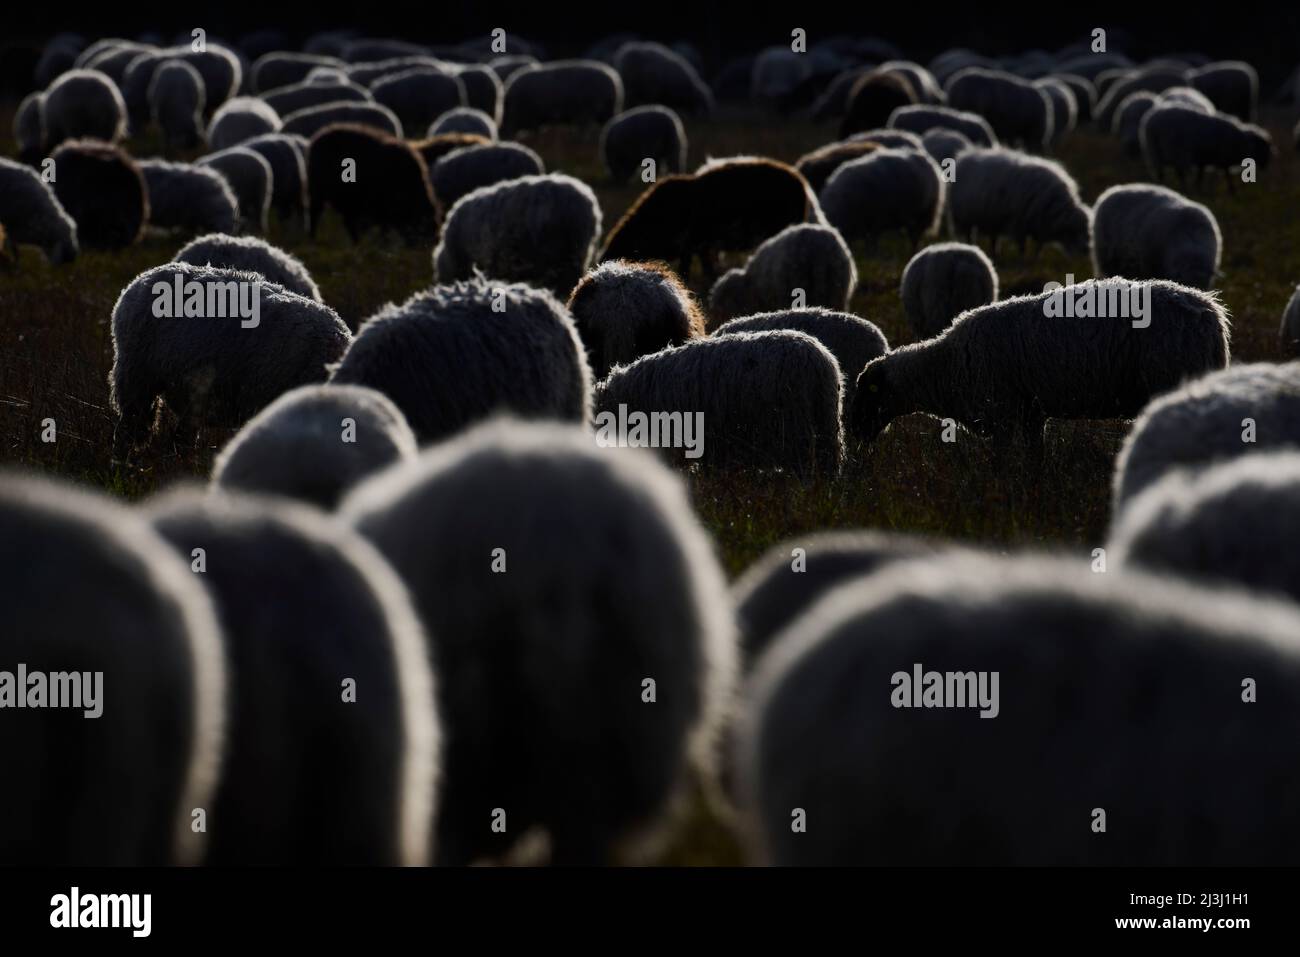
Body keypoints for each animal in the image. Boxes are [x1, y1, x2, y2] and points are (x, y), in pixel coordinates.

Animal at [307, 123, 439, 245]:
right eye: (426, 224)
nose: (429, 243)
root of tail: (318, 137)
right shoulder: (381, 205)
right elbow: (383, 227)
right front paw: (384, 243)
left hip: (344, 198)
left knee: (348, 222)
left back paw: (356, 243)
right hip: (318, 191)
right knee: (315, 214)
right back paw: (313, 239)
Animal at [850, 279, 1231, 454]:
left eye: (868, 394)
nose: (854, 437)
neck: (945, 366)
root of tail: (1211, 315)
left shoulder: (1000, 410)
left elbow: (1001, 461)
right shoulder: (1031, 412)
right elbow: (1036, 456)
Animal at [948, 148, 1091, 257]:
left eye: (1086, 230)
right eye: (1074, 230)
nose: (1086, 250)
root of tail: (964, 156)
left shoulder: (1040, 226)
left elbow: (1039, 247)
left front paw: (1035, 260)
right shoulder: (1019, 224)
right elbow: (1023, 247)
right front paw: (1023, 263)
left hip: (992, 219)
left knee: (993, 238)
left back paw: (995, 254)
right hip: (963, 217)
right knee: (969, 236)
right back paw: (971, 247)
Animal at [1140, 104, 1274, 188]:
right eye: (1264, 149)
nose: (1266, 165)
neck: (1242, 140)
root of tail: (1152, 123)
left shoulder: (1203, 159)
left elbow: (1201, 175)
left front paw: (1199, 188)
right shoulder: (1223, 158)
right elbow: (1227, 175)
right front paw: (1232, 191)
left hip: (1155, 151)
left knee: (1162, 172)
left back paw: (1164, 185)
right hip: (1177, 151)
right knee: (1180, 173)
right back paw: (1185, 189)